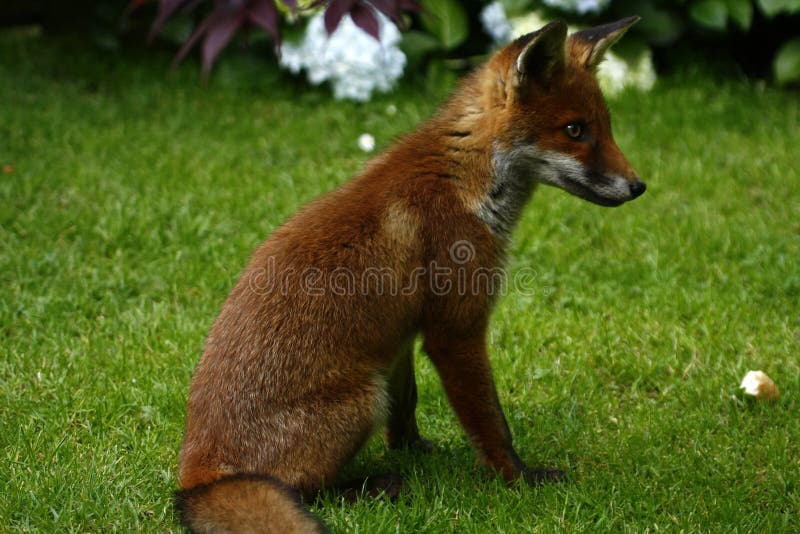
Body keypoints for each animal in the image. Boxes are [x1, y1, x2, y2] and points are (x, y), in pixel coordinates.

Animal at [175, 16, 646, 533]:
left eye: (605, 127)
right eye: (574, 130)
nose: (638, 186)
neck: (465, 182)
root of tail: (198, 477)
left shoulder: (400, 337)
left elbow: (408, 404)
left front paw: (412, 450)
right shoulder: (456, 331)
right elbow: (491, 422)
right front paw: (517, 479)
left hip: (373, 382)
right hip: (362, 398)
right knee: (303, 491)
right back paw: (373, 487)